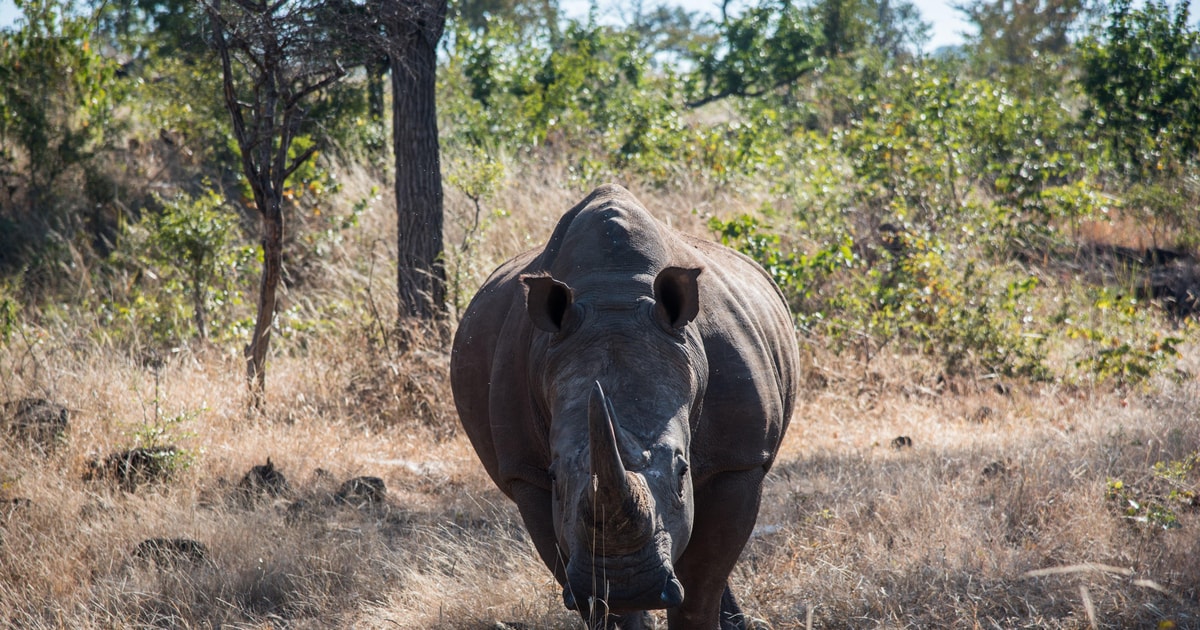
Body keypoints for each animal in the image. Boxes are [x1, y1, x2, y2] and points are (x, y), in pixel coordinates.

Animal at [450, 184, 799, 629]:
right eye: (555, 476)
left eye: (682, 470)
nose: (629, 584)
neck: (613, 299)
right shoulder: (526, 473)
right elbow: (598, 599)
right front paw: (619, 601)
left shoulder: (739, 460)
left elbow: (699, 588)